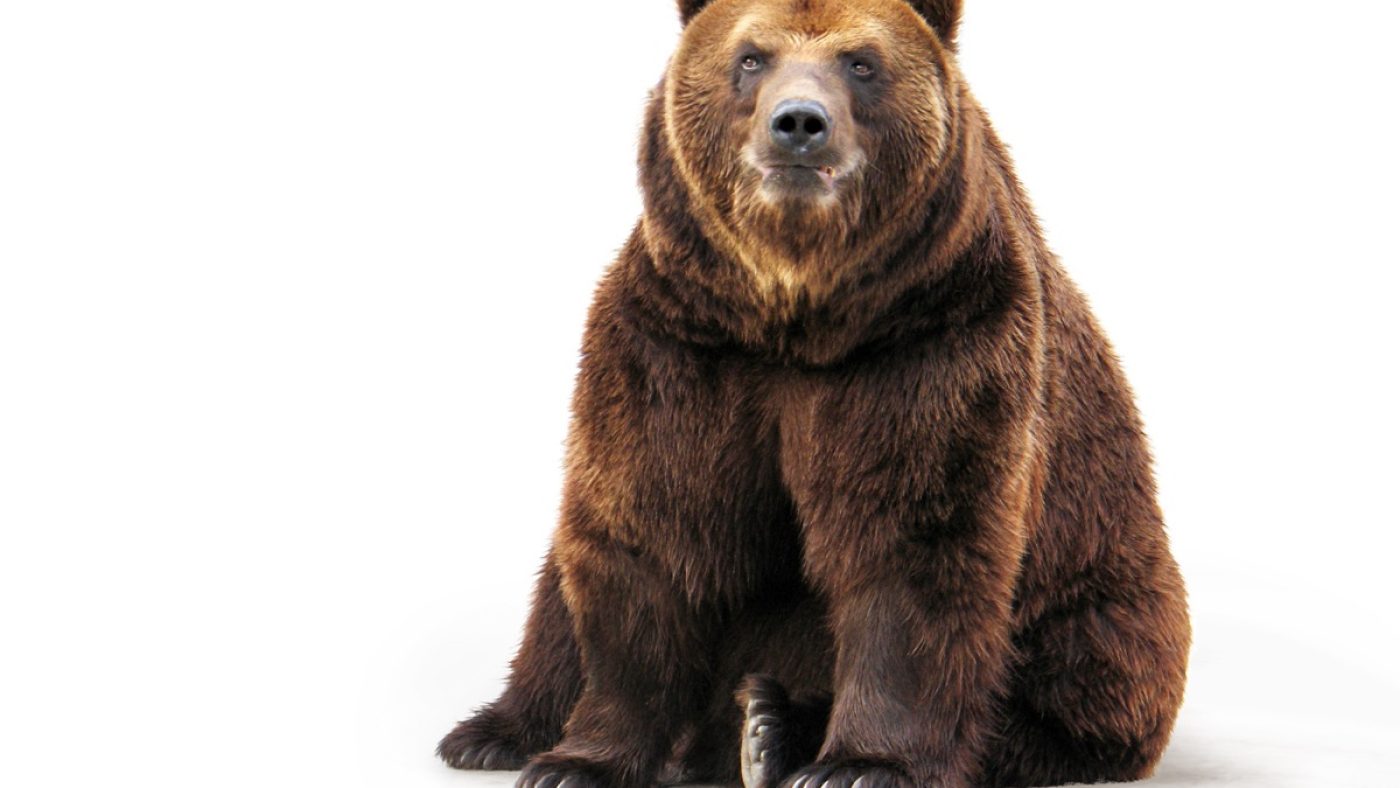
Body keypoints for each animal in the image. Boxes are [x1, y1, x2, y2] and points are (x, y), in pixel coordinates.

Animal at [438, 0, 1191, 786]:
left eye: (861, 62)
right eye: (751, 57)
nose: (799, 122)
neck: (795, 316)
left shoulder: (933, 343)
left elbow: (912, 544)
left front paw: (859, 762)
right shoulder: (677, 344)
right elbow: (649, 531)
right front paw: (577, 761)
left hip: (1101, 590)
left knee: (1075, 677)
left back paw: (771, 727)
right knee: (557, 594)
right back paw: (497, 731)